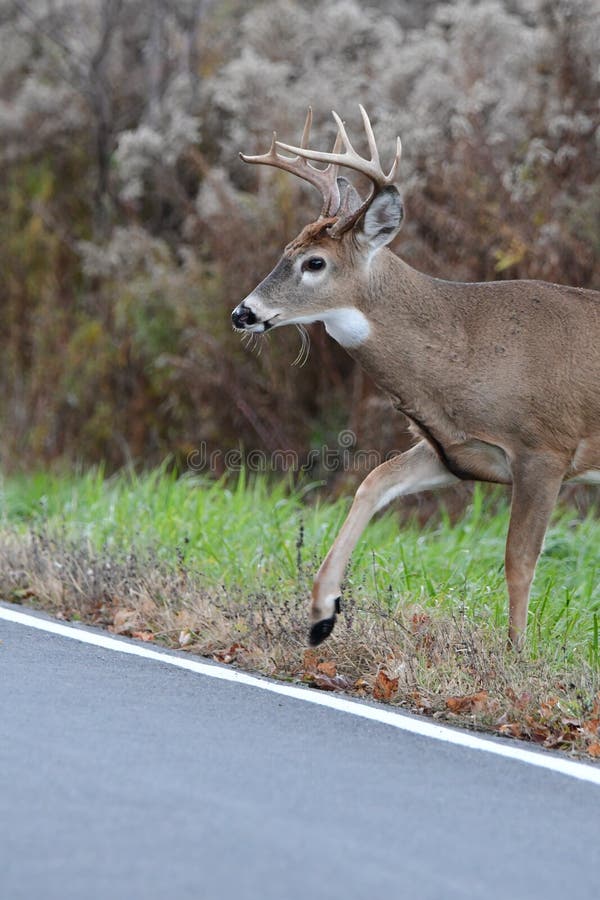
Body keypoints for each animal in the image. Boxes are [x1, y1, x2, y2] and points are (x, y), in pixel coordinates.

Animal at [231, 106, 600, 650]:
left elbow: (519, 560)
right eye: (285, 249)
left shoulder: (546, 448)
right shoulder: (454, 451)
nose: (243, 313)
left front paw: (516, 653)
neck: (467, 352)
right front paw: (322, 614)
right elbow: (373, 482)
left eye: (315, 262)